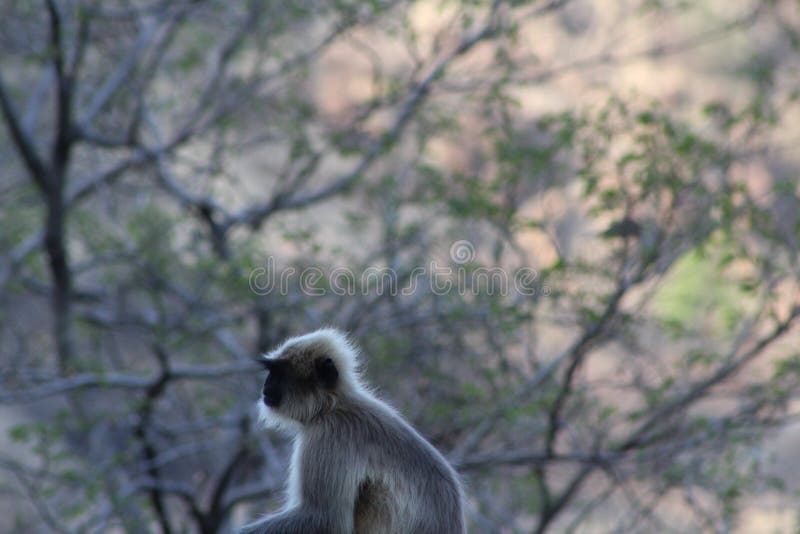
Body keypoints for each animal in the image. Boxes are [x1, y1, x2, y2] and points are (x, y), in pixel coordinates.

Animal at [238, 328, 465, 534]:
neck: (332, 406)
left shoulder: (329, 435)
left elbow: (325, 520)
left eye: (279, 373)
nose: (266, 386)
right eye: (271, 372)